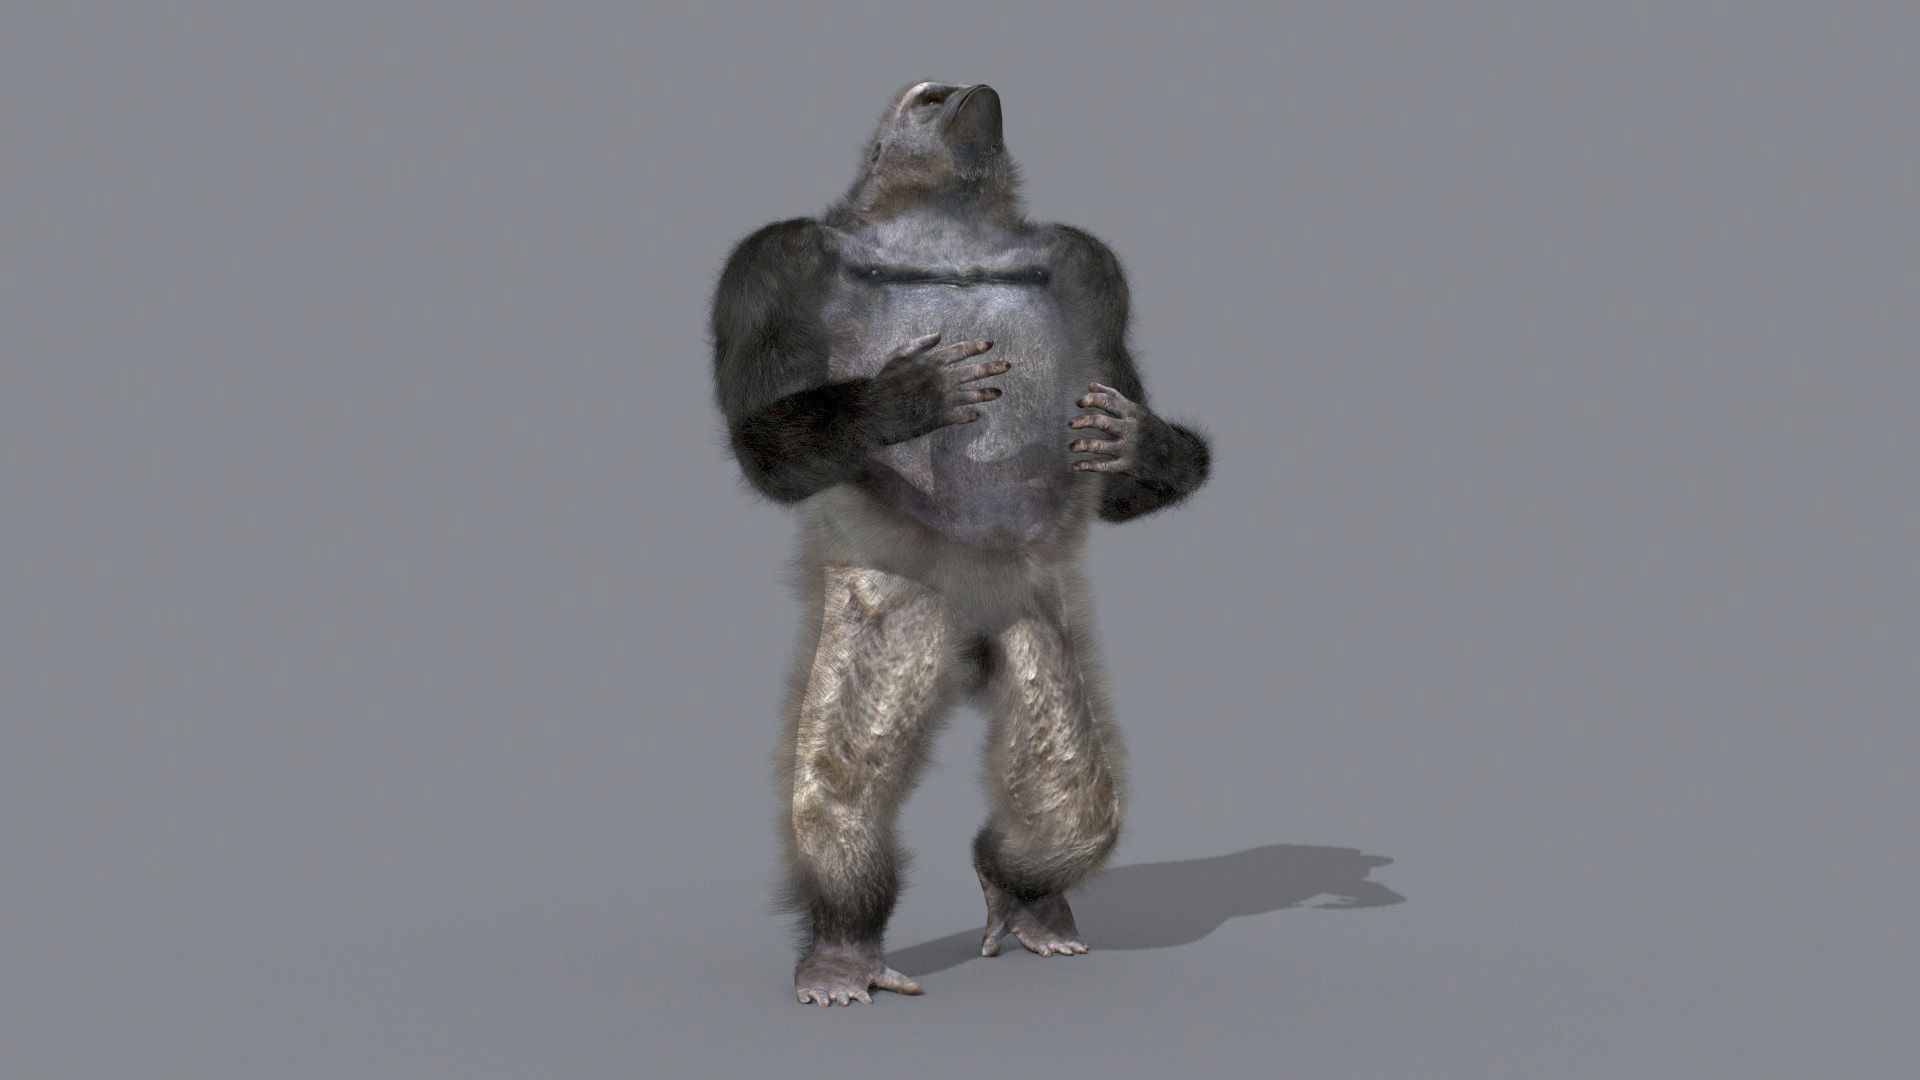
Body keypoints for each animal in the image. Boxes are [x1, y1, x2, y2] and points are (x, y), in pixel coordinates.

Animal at [710, 82, 1211, 1006]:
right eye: (931, 97)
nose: (977, 95)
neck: (950, 228)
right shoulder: (771, 262)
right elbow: (761, 436)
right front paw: (895, 403)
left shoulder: (1092, 267)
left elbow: (1117, 451)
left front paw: (1143, 445)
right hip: (900, 605)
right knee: (844, 783)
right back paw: (843, 949)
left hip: (1033, 615)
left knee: (1073, 802)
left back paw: (1024, 897)